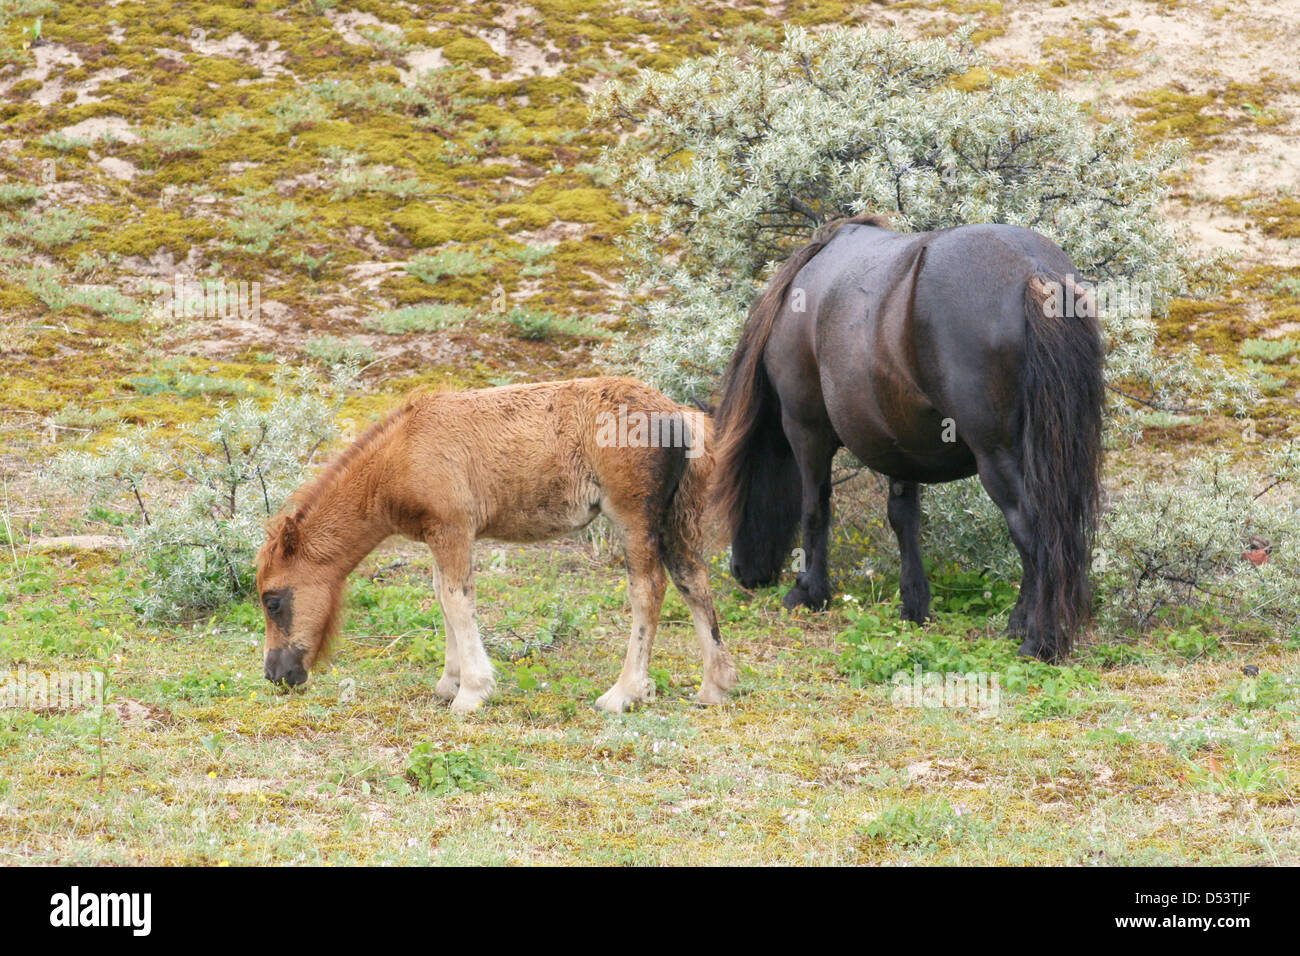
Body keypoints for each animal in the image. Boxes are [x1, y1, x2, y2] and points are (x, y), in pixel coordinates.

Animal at [255, 377, 737, 714]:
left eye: (272, 601)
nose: (276, 674)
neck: (404, 452)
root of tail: (680, 414)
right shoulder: (439, 535)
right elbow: (443, 597)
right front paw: (449, 683)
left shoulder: (453, 529)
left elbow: (457, 600)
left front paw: (471, 692)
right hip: (676, 519)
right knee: (694, 582)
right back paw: (713, 687)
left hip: (633, 518)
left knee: (648, 590)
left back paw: (623, 693)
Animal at [712, 214, 1105, 662]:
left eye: (734, 485)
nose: (742, 572)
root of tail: (1032, 270)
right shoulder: (898, 443)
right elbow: (903, 519)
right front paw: (914, 604)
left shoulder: (805, 429)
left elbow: (815, 509)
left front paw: (809, 591)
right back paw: (1021, 627)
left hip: (998, 457)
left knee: (1033, 532)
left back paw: (1039, 639)